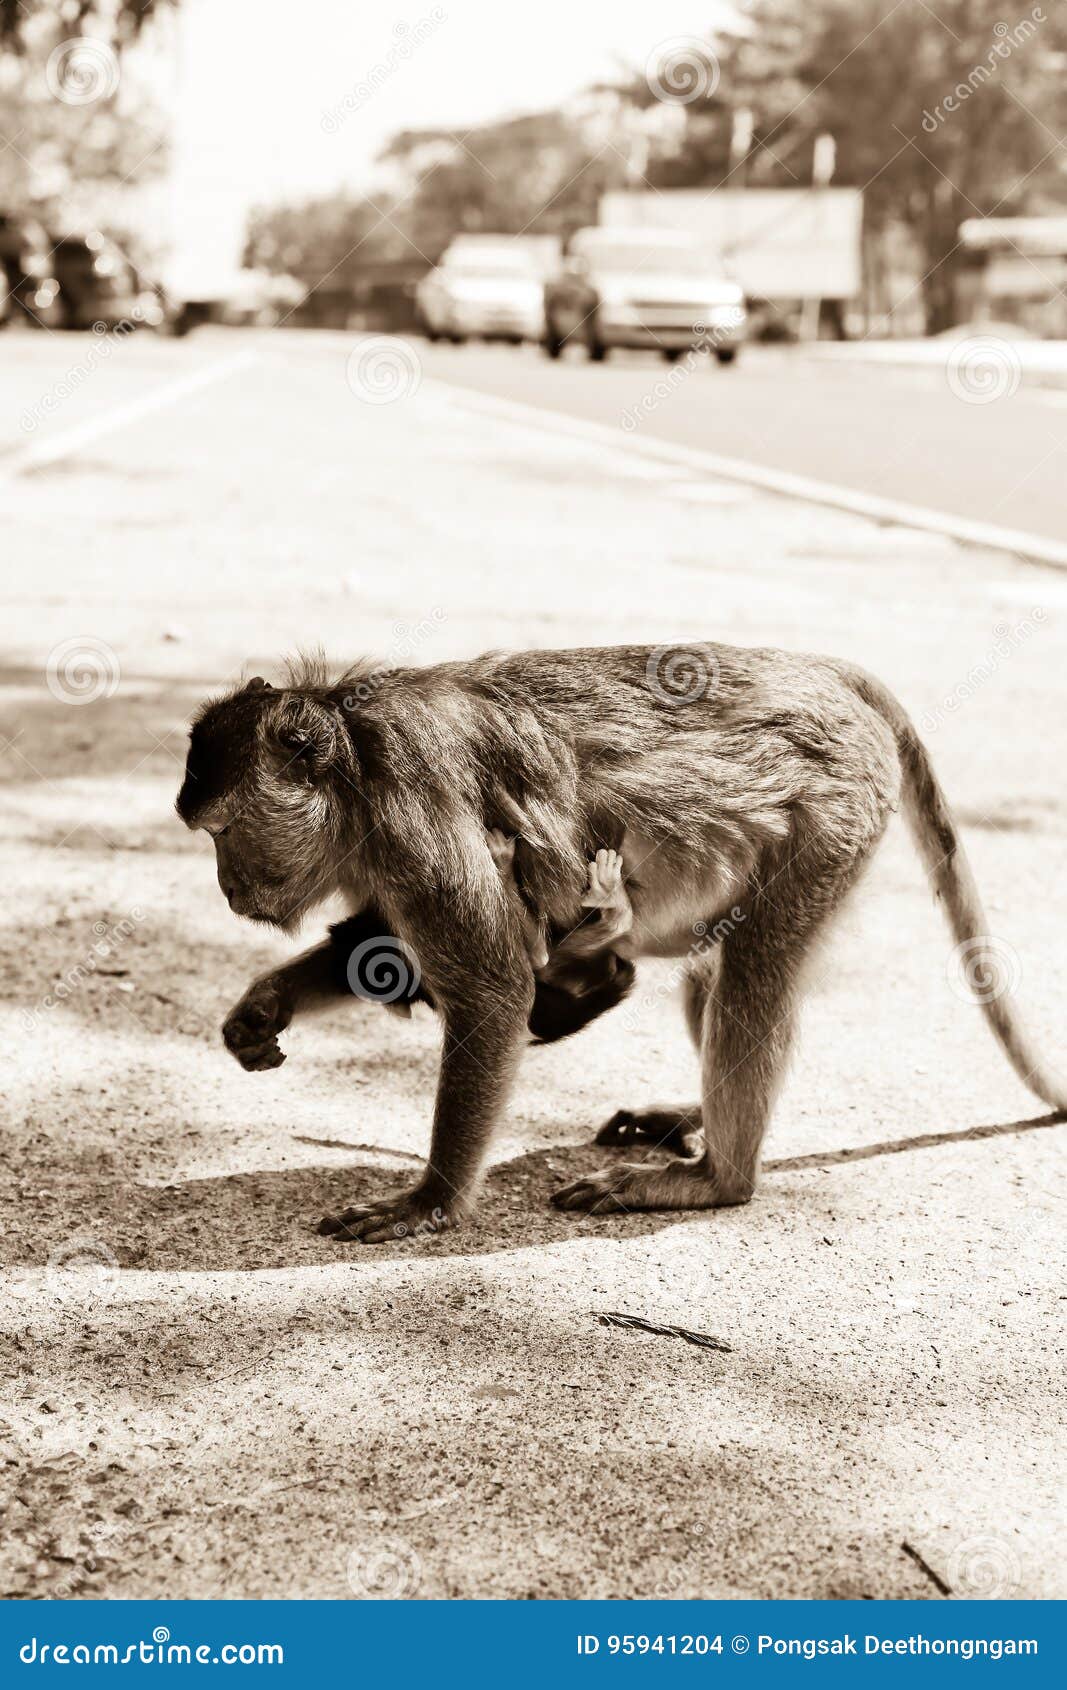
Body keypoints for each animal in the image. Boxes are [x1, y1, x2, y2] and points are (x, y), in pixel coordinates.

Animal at [176, 646, 1067, 1243]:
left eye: (220, 831)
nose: (226, 886)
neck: (354, 751)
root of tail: (815, 669)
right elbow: (376, 950)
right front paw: (266, 1004)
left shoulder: (408, 809)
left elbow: (494, 990)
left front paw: (429, 1200)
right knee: (715, 975)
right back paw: (693, 1119)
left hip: (835, 815)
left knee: (753, 974)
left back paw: (717, 1179)